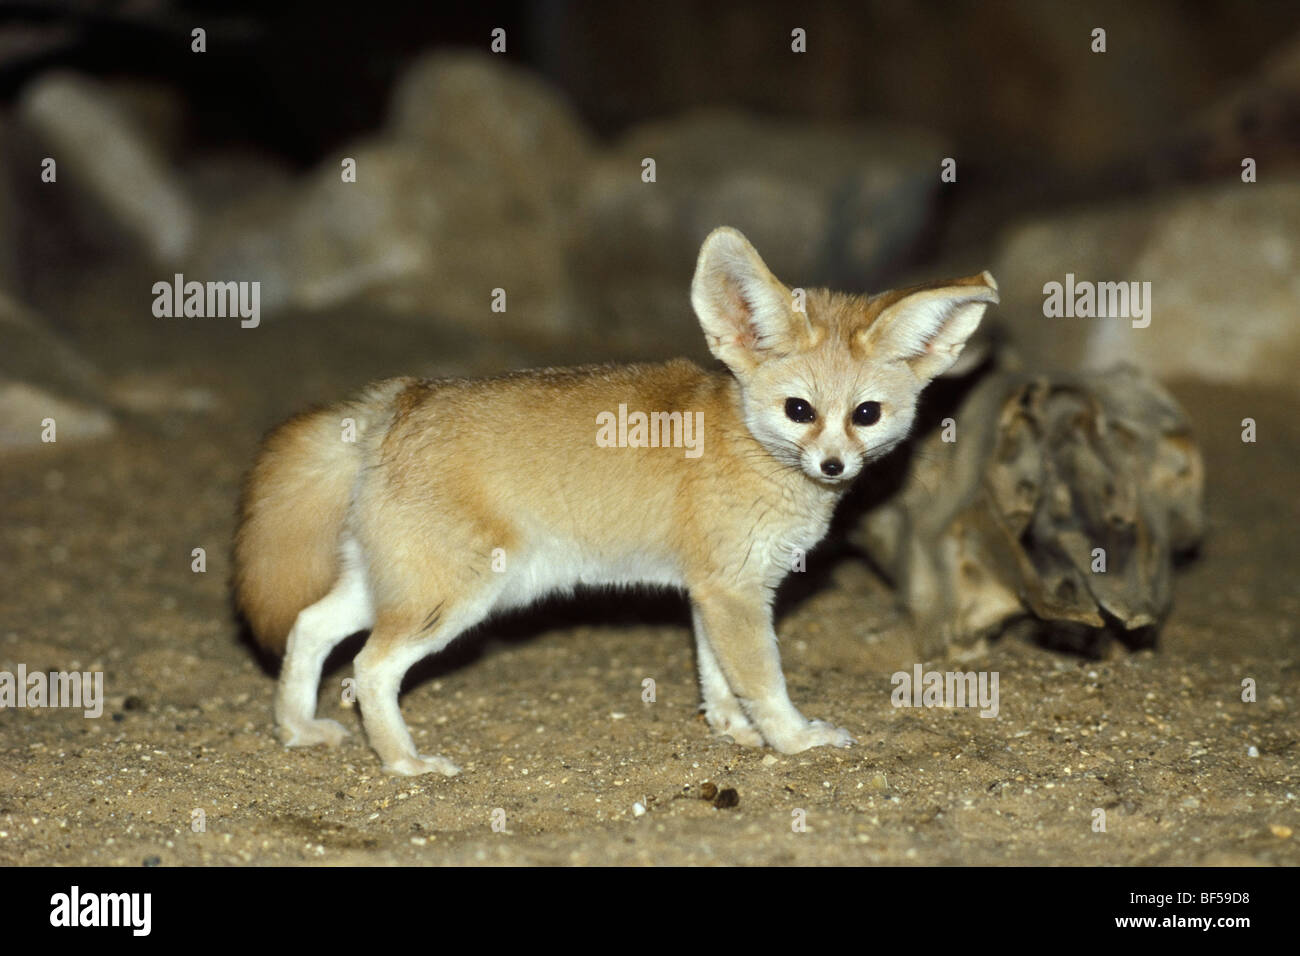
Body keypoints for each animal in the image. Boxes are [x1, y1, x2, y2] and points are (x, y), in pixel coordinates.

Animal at [233, 226, 998, 776]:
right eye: (800, 411)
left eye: (866, 414)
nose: (834, 465)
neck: (743, 442)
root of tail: (397, 398)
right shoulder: (735, 593)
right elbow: (762, 680)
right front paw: (794, 739)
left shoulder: (713, 589)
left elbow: (717, 677)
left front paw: (733, 731)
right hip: (452, 598)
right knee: (368, 668)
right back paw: (405, 764)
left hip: (393, 586)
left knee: (307, 628)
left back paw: (296, 728)